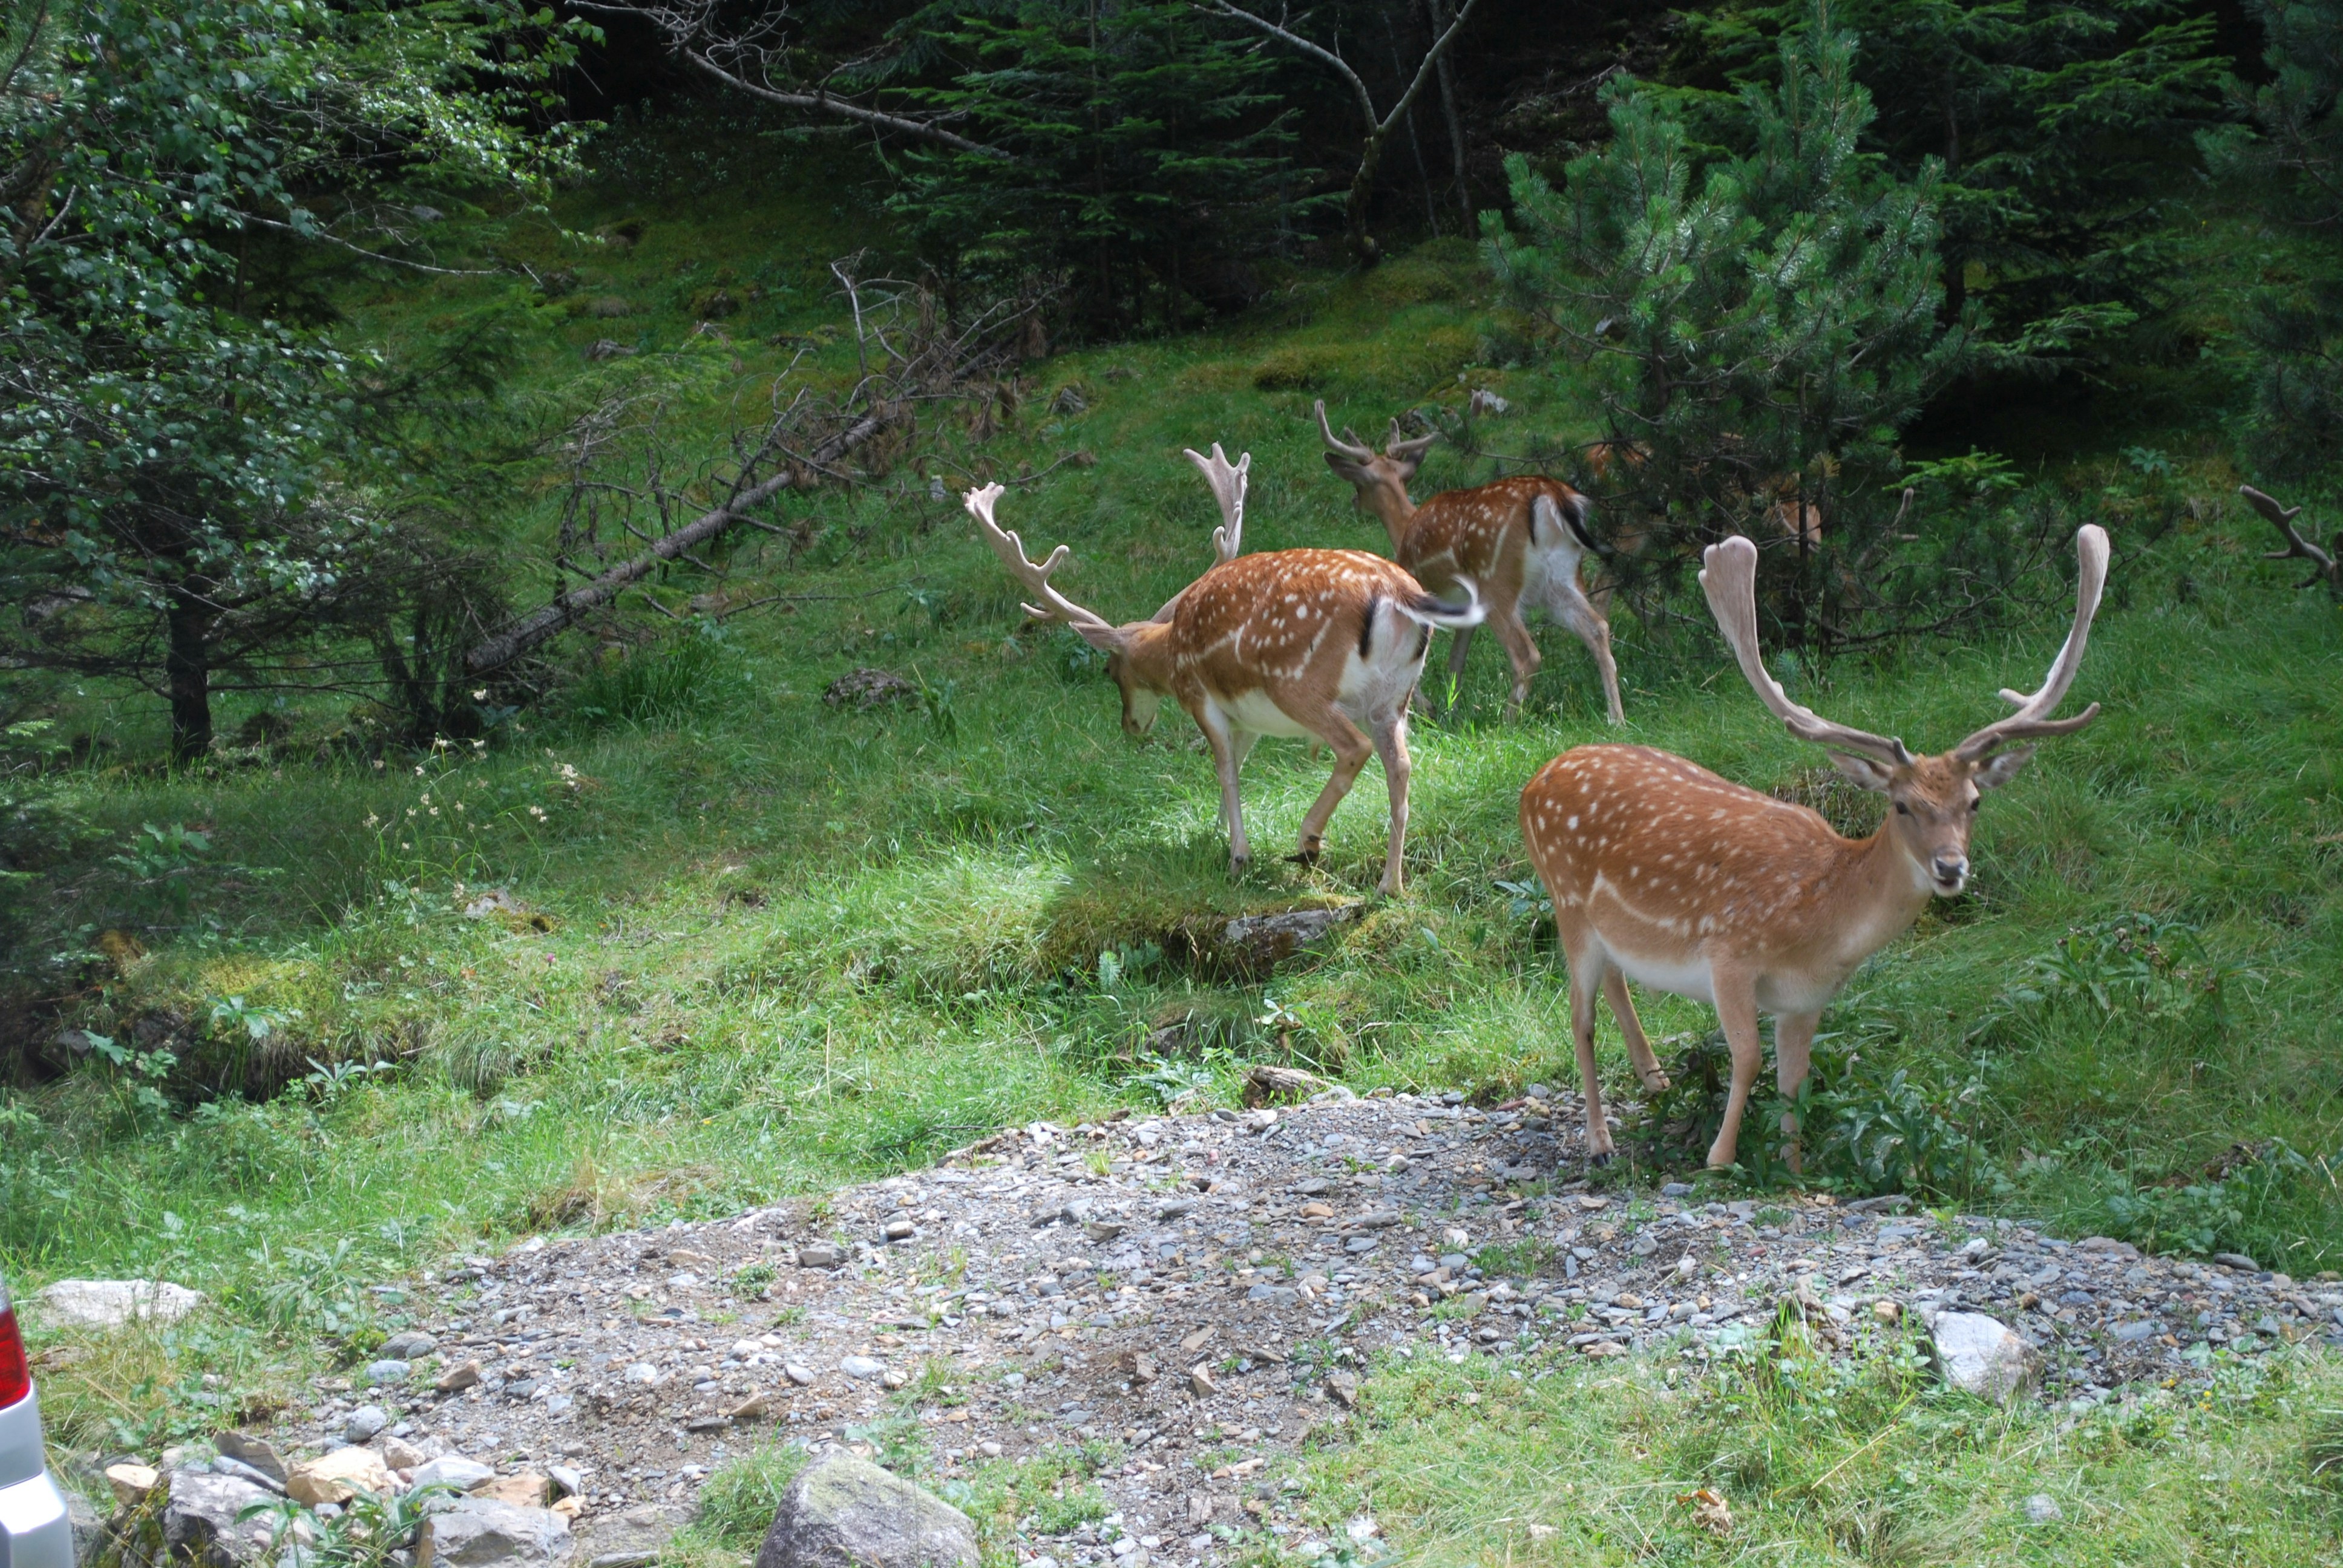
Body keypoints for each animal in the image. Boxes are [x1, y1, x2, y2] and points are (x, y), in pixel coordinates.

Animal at [966, 445, 1484, 895]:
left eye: (1110, 672)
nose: (1130, 725)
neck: (1172, 648)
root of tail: (1400, 594)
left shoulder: (1201, 695)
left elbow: (1225, 768)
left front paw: (1238, 854)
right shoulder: (1247, 716)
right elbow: (1239, 762)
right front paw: (1215, 832)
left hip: (1299, 682)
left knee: (1353, 748)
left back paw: (1308, 841)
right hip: (1396, 696)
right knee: (1402, 766)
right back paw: (1389, 885)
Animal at [1316, 402, 1624, 724]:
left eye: (1358, 485)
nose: (1354, 502)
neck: (1404, 529)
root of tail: (1552, 495)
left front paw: (1424, 708)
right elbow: (1456, 659)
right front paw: (1450, 710)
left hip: (1495, 579)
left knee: (1527, 654)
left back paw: (1508, 721)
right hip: (1562, 578)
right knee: (1598, 627)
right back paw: (1616, 718)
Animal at [1518, 523, 2110, 1170]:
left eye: (1975, 801)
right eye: (1902, 805)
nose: (1951, 866)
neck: (1822, 924)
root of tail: (1534, 782)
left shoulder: (1805, 998)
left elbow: (1794, 1080)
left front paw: (1794, 1166)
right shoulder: (1728, 953)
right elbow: (1748, 1058)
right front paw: (1720, 1159)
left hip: (1602, 924)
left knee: (1615, 982)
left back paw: (1654, 1080)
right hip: (1565, 900)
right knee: (1579, 1017)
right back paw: (1600, 1140)